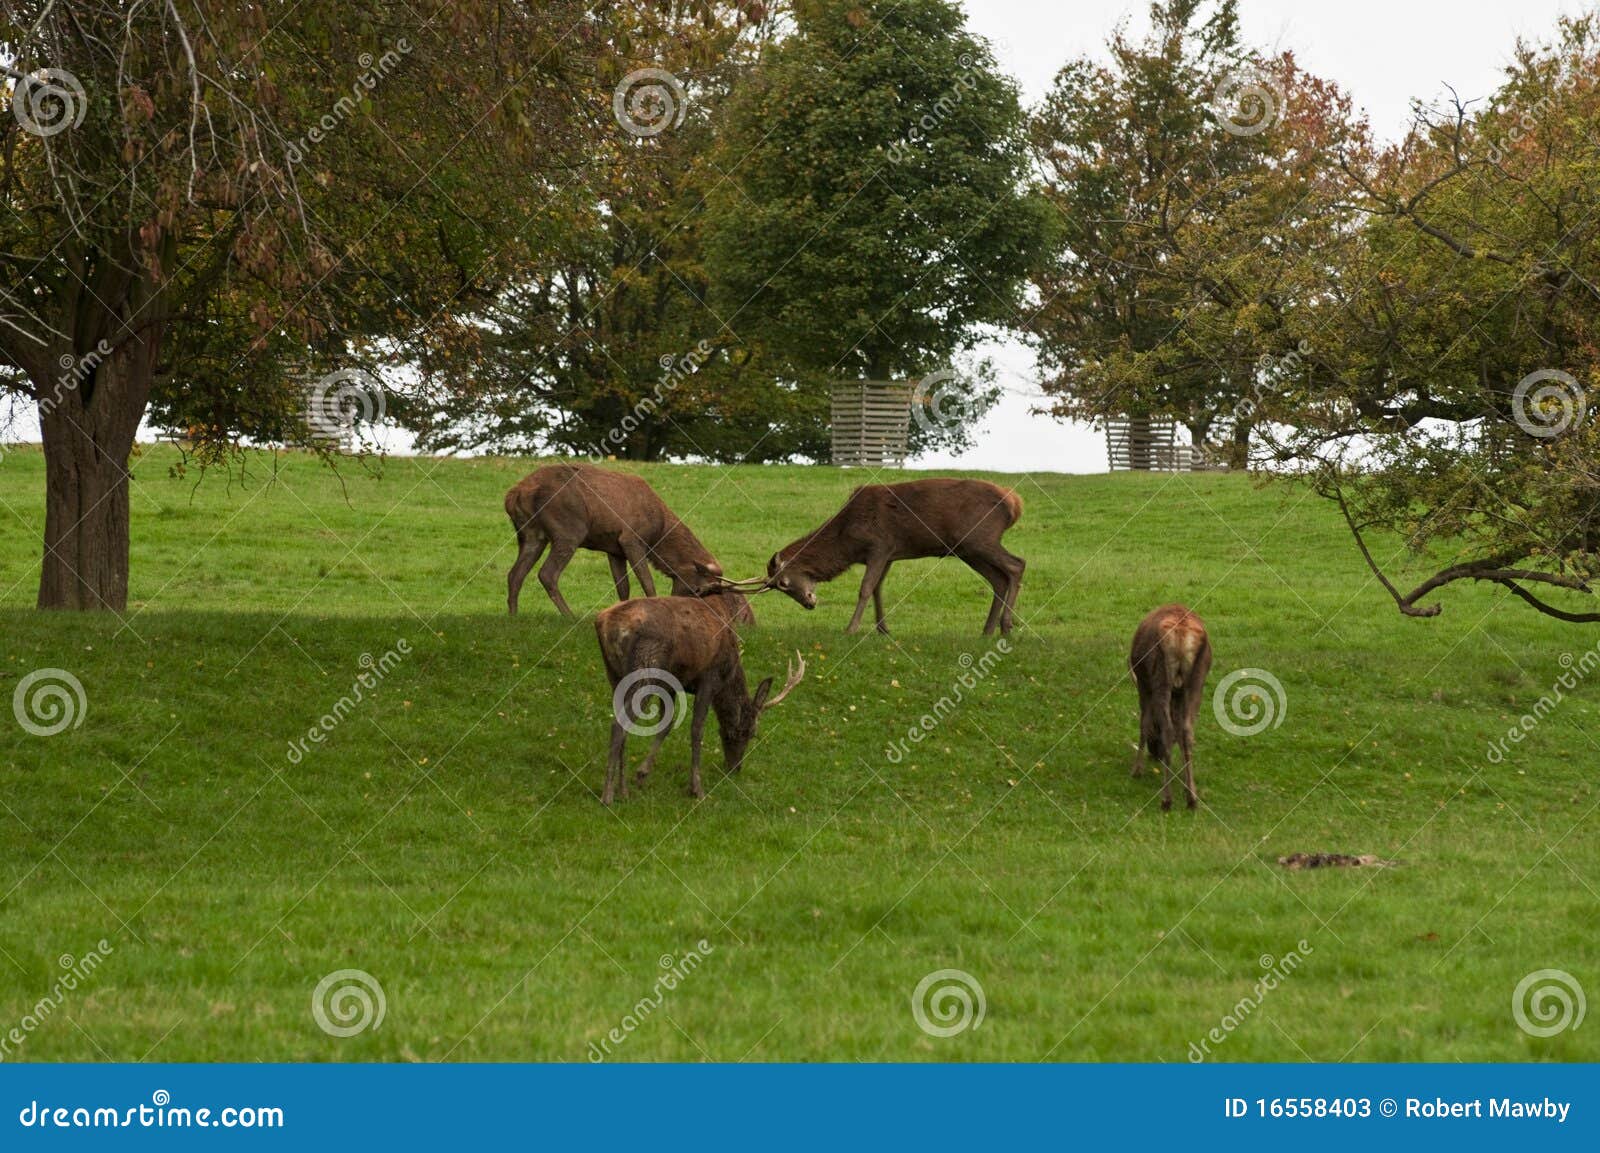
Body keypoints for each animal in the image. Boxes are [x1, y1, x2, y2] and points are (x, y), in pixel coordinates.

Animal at [504, 463, 731, 618]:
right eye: (699, 589)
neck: (658, 535)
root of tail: (514, 495)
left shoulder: (614, 549)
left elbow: (623, 587)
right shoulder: (631, 539)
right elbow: (647, 582)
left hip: (530, 534)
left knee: (515, 574)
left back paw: (513, 615)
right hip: (568, 531)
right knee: (547, 574)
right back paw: (569, 615)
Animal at [594, 588, 804, 805]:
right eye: (751, 733)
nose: (735, 768)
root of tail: (604, 622)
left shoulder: (673, 682)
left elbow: (666, 725)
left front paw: (642, 773)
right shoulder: (709, 679)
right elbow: (697, 729)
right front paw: (696, 788)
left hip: (615, 674)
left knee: (622, 723)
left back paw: (623, 790)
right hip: (646, 668)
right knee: (618, 725)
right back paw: (607, 795)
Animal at [731, 478, 1024, 635]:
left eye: (783, 583)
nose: (809, 604)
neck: (847, 539)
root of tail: (1015, 503)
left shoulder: (879, 546)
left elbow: (865, 588)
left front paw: (850, 628)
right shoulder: (889, 554)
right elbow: (878, 588)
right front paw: (883, 629)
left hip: (980, 539)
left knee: (1017, 565)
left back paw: (1006, 625)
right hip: (967, 549)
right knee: (998, 579)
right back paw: (987, 630)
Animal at [1129, 604, 1212, 811]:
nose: (1155, 754)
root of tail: (1182, 633)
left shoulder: (1143, 683)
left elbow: (1144, 722)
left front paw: (1137, 770)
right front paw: (1185, 781)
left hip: (1159, 675)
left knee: (1168, 729)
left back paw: (1166, 799)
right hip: (1197, 679)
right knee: (1187, 731)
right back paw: (1191, 798)